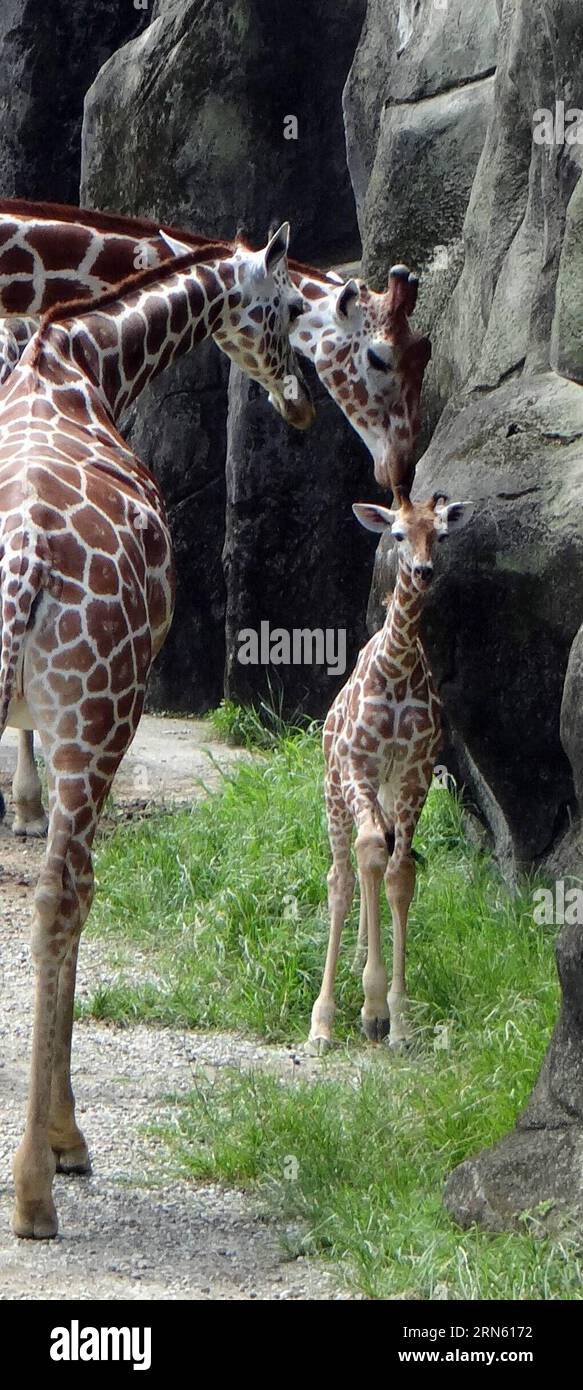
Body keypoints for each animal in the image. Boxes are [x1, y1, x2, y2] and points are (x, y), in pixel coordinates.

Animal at [0, 226, 313, 1239]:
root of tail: (22, 566)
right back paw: (34, 1190)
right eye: (288, 308)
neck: (83, 360)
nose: (299, 404)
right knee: (58, 899)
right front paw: (67, 1141)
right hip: (101, 710)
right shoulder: (110, 717)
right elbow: (81, 897)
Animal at [308, 494, 474, 1055]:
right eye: (397, 534)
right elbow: (366, 857)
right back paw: (323, 1019)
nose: (422, 571)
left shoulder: (416, 771)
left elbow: (400, 875)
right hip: (334, 791)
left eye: (439, 534)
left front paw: (394, 1017)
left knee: (374, 859)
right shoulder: (358, 763)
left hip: (382, 789)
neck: (398, 669)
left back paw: (362, 968)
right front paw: (368, 1006)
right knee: (342, 874)